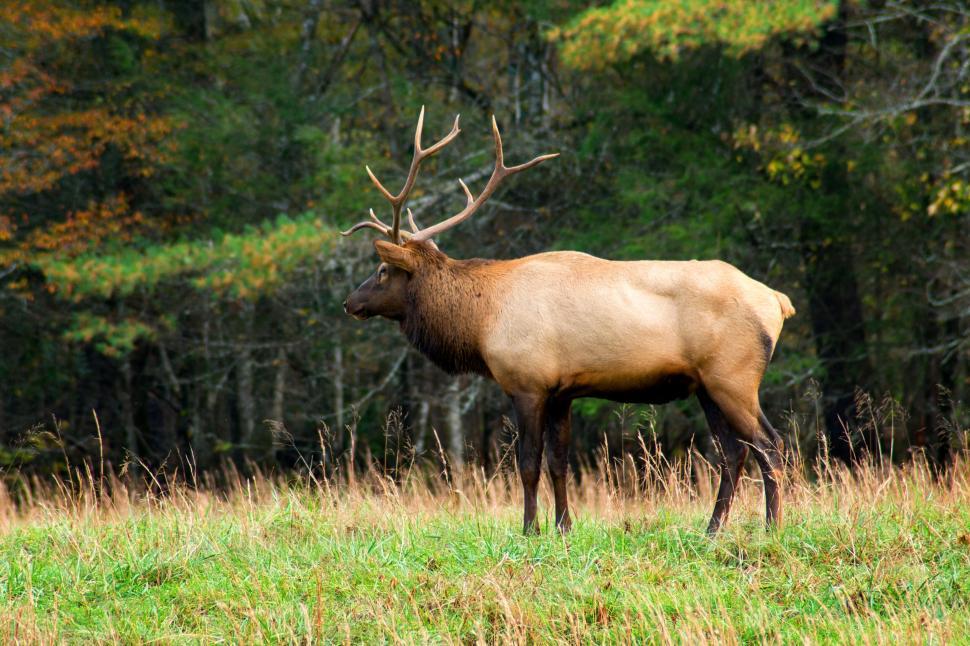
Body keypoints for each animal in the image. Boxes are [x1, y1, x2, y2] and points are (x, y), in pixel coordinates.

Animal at [341, 108, 796, 536]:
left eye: (382, 271)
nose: (349, 303)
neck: (481, 321)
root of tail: (778, 302)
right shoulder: (562, 391)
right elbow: (559, 463)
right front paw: (563, 526)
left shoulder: (527, 383)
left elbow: (528, 463)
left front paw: (529, 529)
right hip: (706, 385)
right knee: (734, 452)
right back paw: (713, 529)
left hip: (733, 377)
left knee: (769, 445)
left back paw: (772, 527)